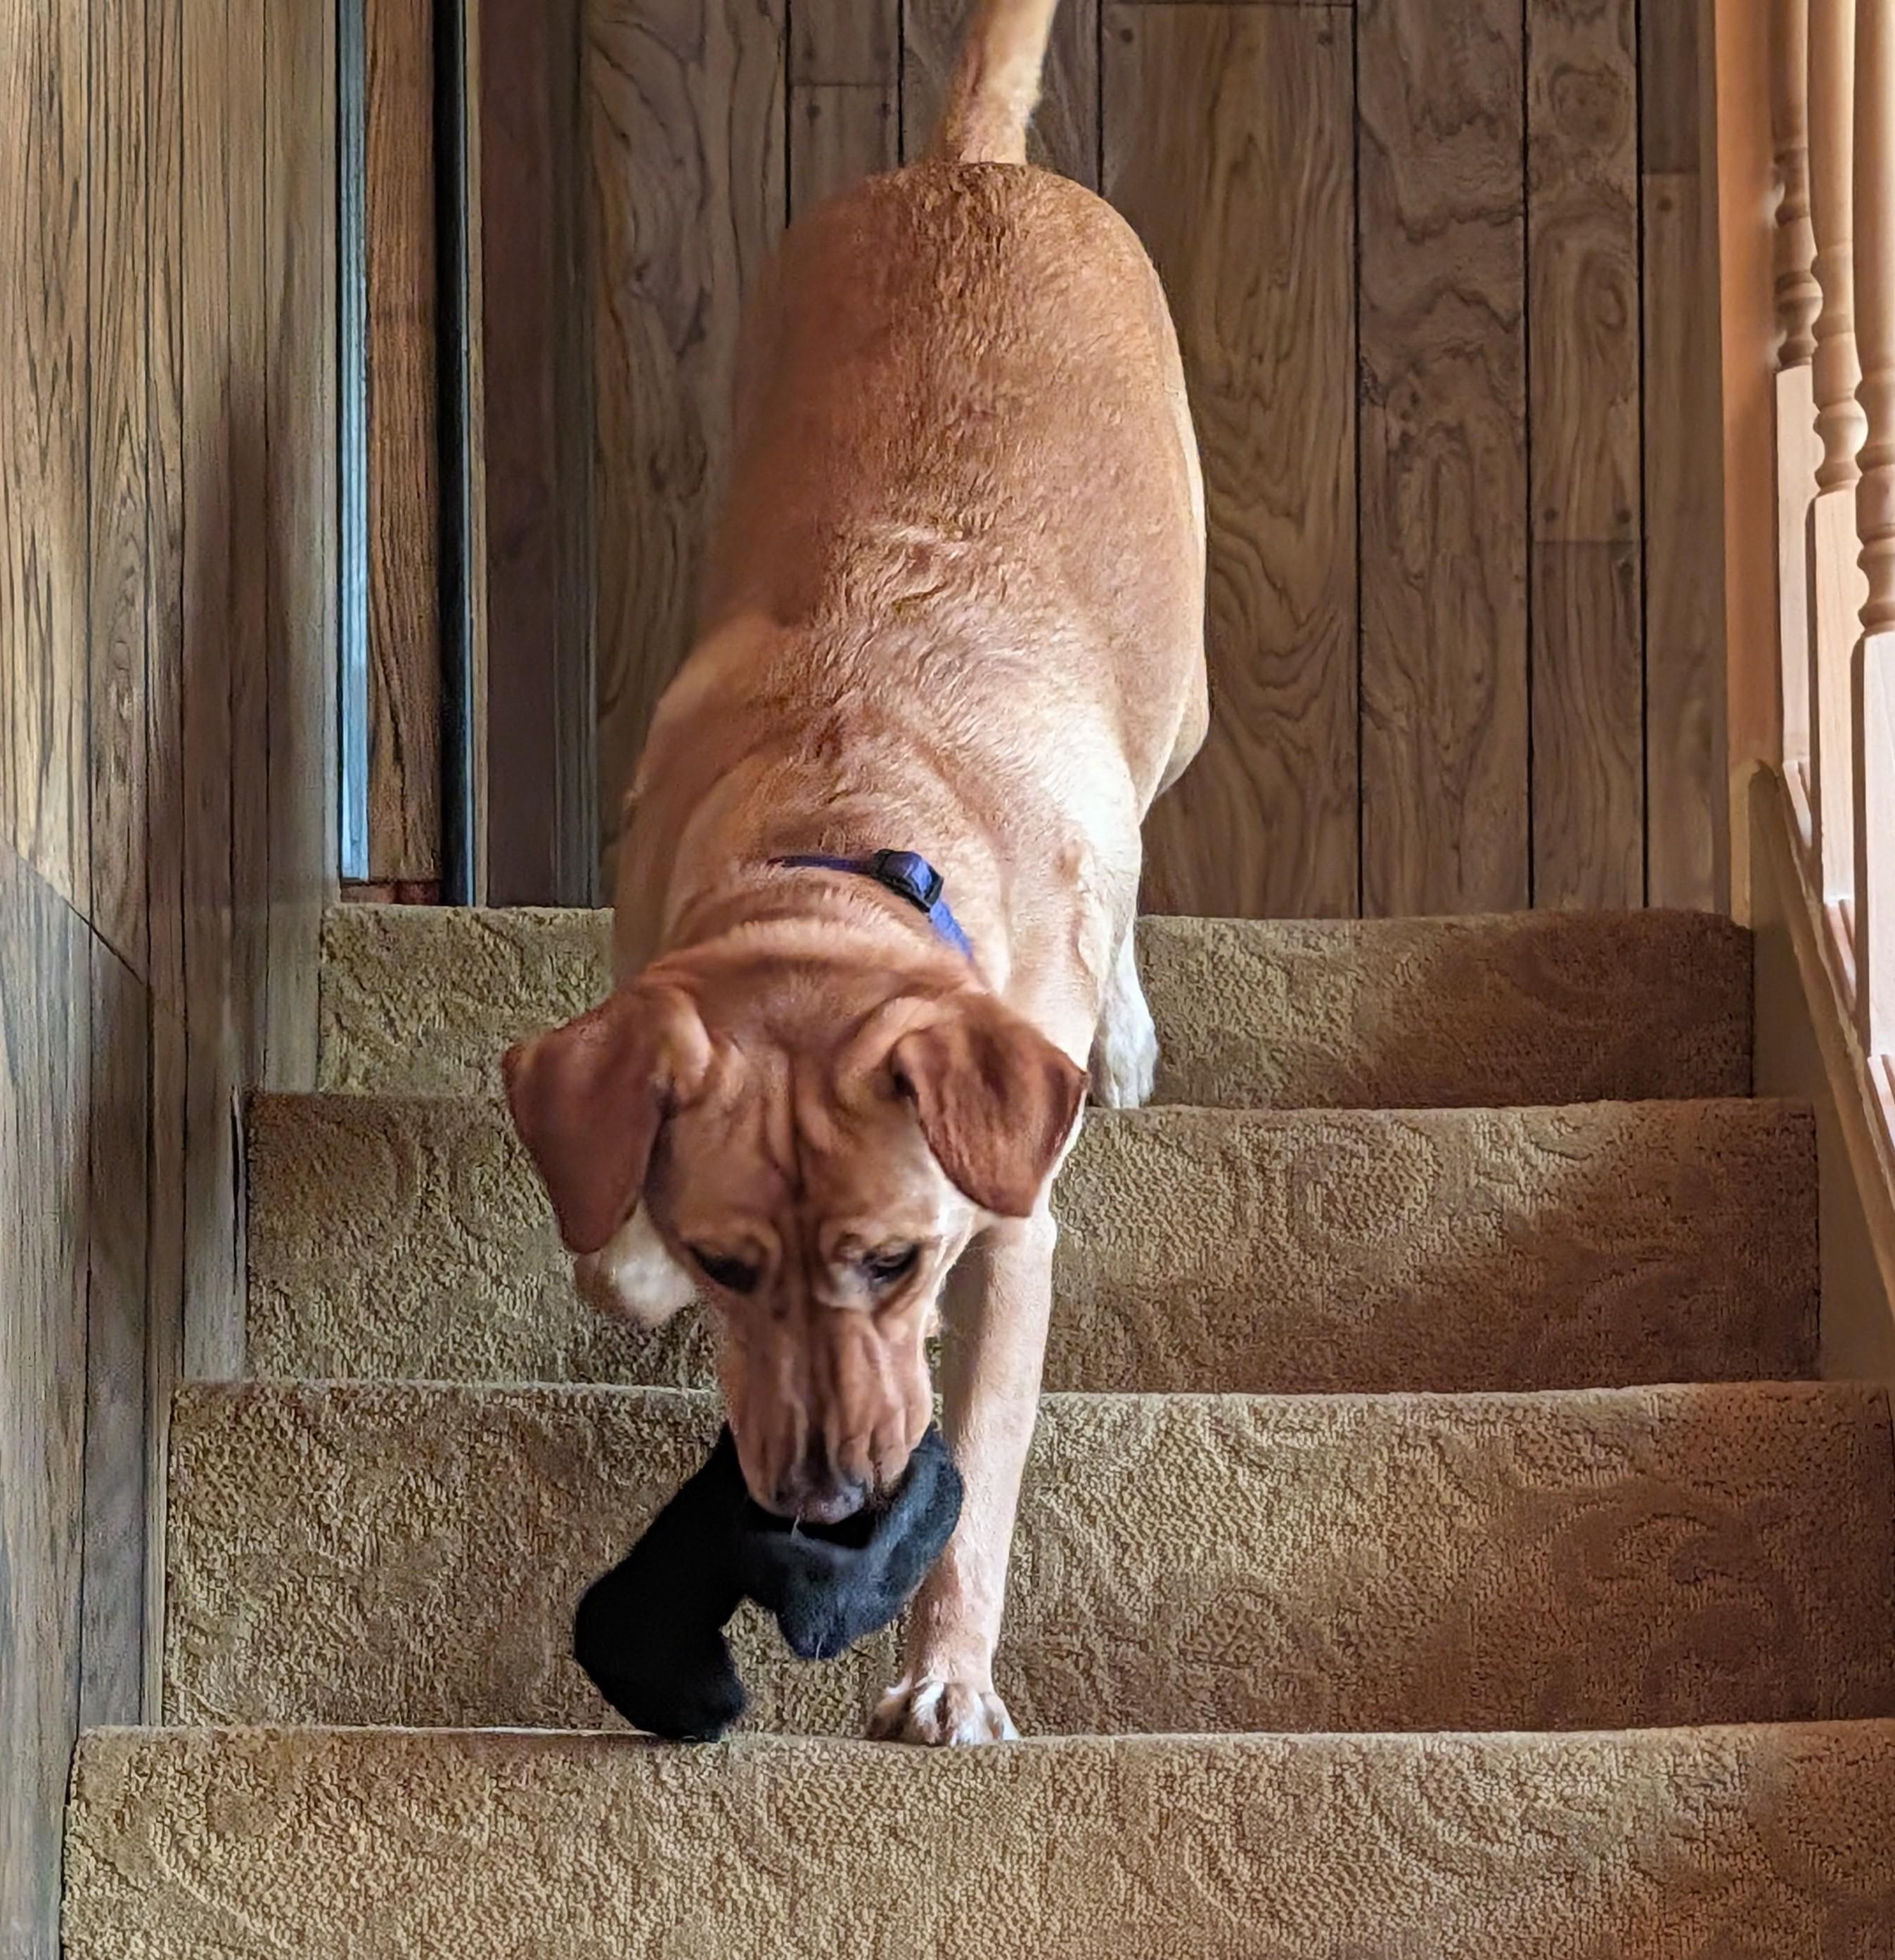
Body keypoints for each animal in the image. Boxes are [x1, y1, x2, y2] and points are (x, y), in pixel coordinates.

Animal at [503, 0, 1206, 1745]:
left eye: (899, 1259)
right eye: (732, 1260)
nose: (824, 1503)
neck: (850, 833)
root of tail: (977, 166)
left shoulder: (1010, 1231)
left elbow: (994, 1457)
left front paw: (948, 1668)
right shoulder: (636, 980)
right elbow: (605, 1242)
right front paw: (638, 1266)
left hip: (1183, 692)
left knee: (1145, 843)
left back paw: (1131, 1026)